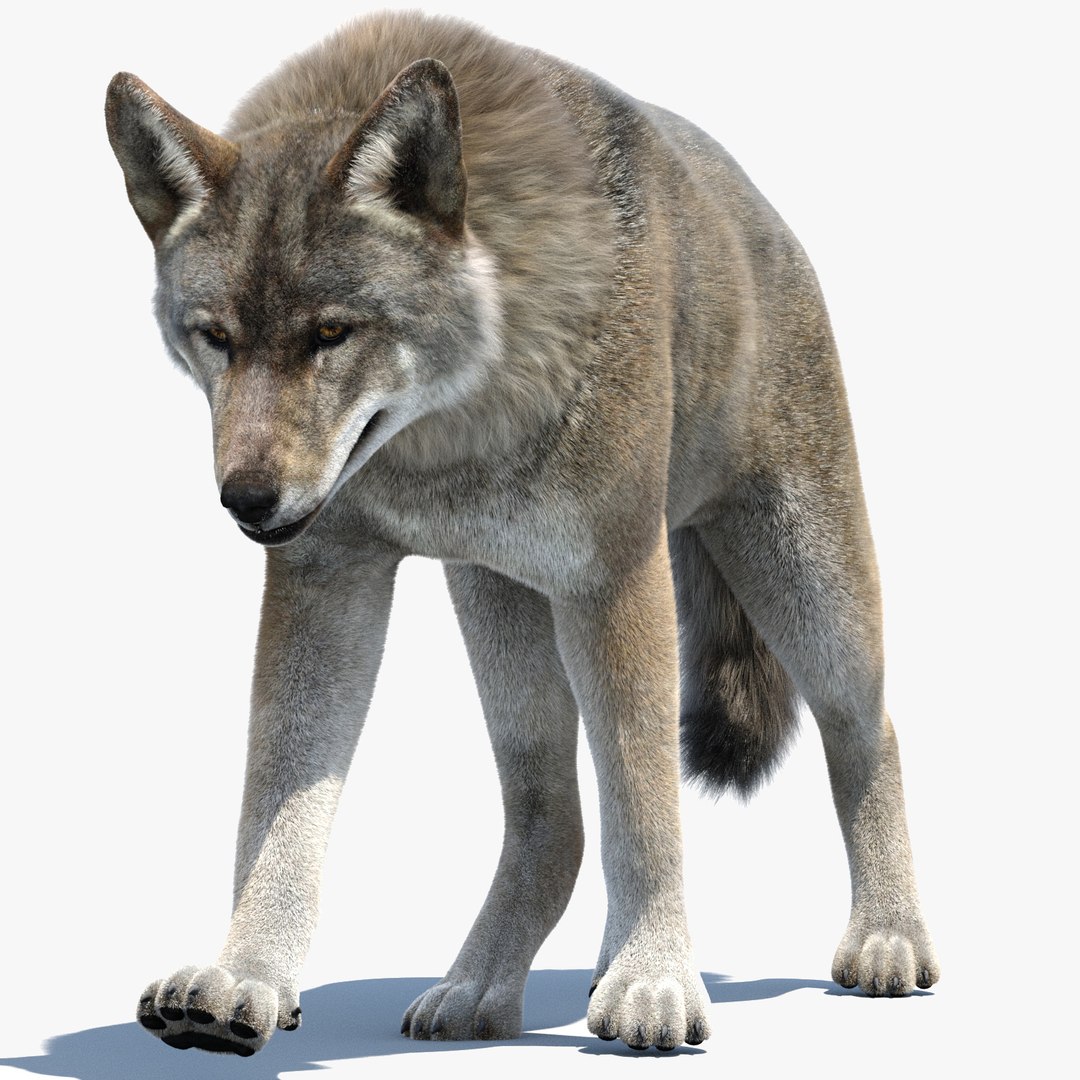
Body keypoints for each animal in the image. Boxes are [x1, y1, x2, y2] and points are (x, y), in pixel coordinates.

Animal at [105, 10, 939, 1057]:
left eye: (332, 334)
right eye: (215, 337)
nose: (248, 500)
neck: (451, 439)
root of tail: (757, 204)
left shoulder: (615, 579)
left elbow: (647, 806)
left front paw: (655, 982)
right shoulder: (325, 580)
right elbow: (277, 808)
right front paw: (242, 977)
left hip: (802, 589)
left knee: (869, 732)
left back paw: (886, 939)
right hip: (497, 602)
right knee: (551, 818)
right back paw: (483, 988)